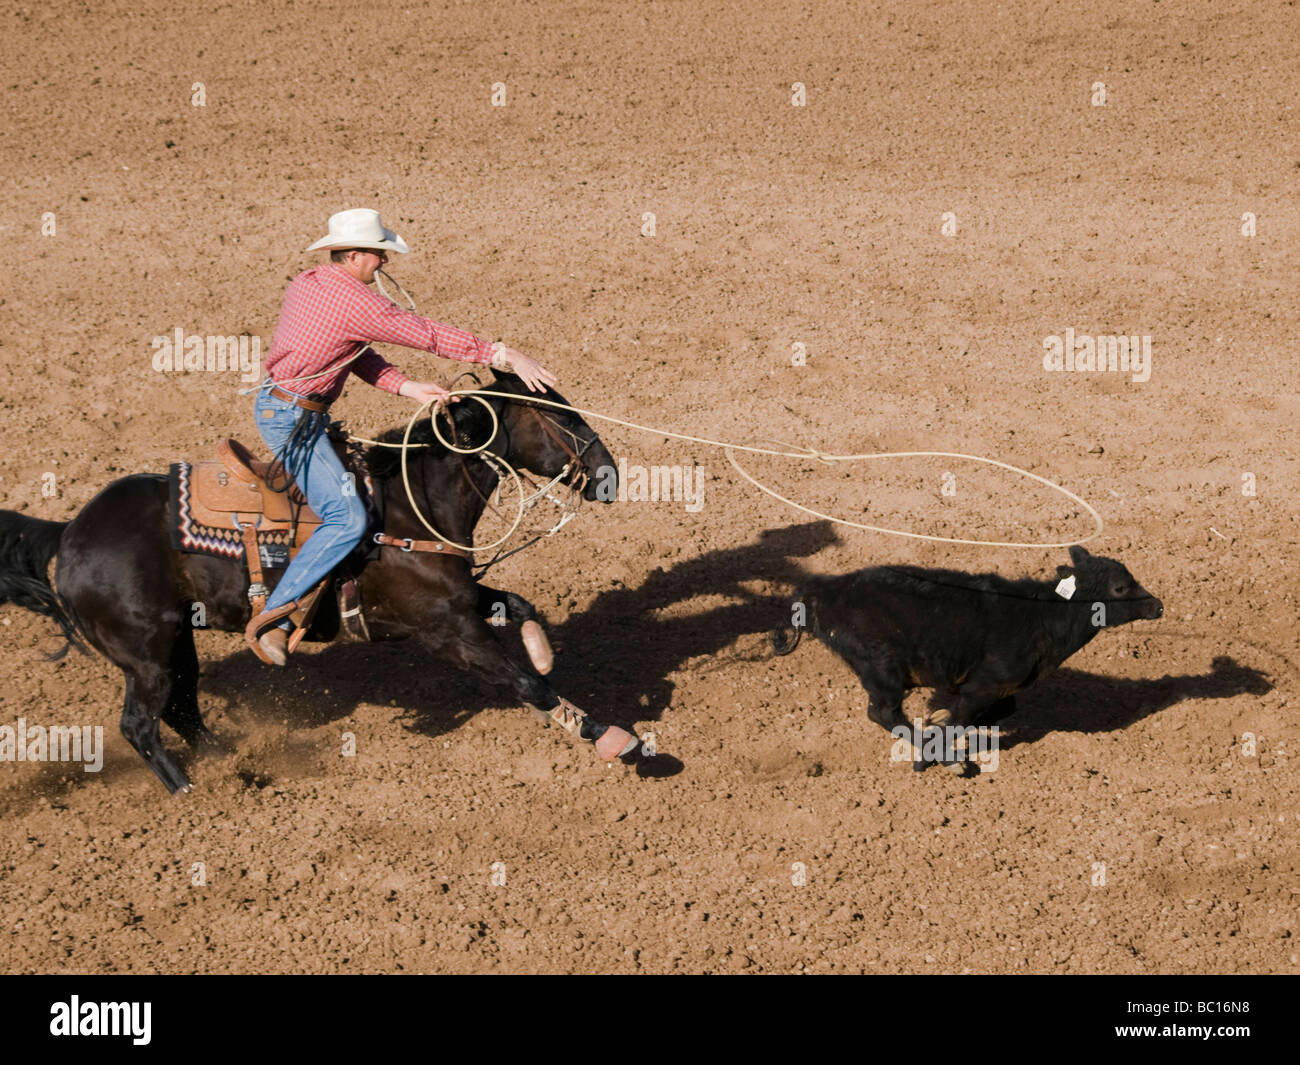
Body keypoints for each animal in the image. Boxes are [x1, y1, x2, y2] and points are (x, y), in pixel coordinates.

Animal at [770, 546, 1162, 768]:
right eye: (1120, 588)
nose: (1157, 605)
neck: (1042, 617)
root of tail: (824, 590)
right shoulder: (984, 685)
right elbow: (961, 717)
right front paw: (939, 741)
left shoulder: (999, 688)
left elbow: (996, 711)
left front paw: (940, 716)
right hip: (882, 669)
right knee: (883, 712)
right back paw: (940, 758)